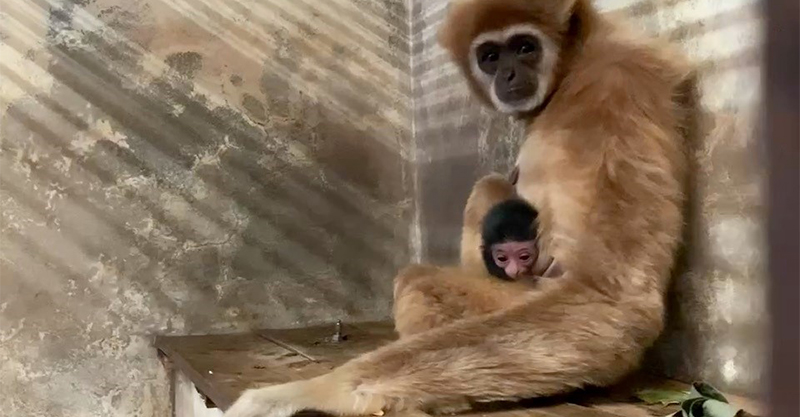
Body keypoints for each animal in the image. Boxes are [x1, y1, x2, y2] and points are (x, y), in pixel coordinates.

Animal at [222, 1, 693, 416]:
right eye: (490, 56)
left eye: (525, 46)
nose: (508, 72)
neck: (574, 69)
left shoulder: (616, 90)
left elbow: (609, 298)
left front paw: (317, 390)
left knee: (419, 280)